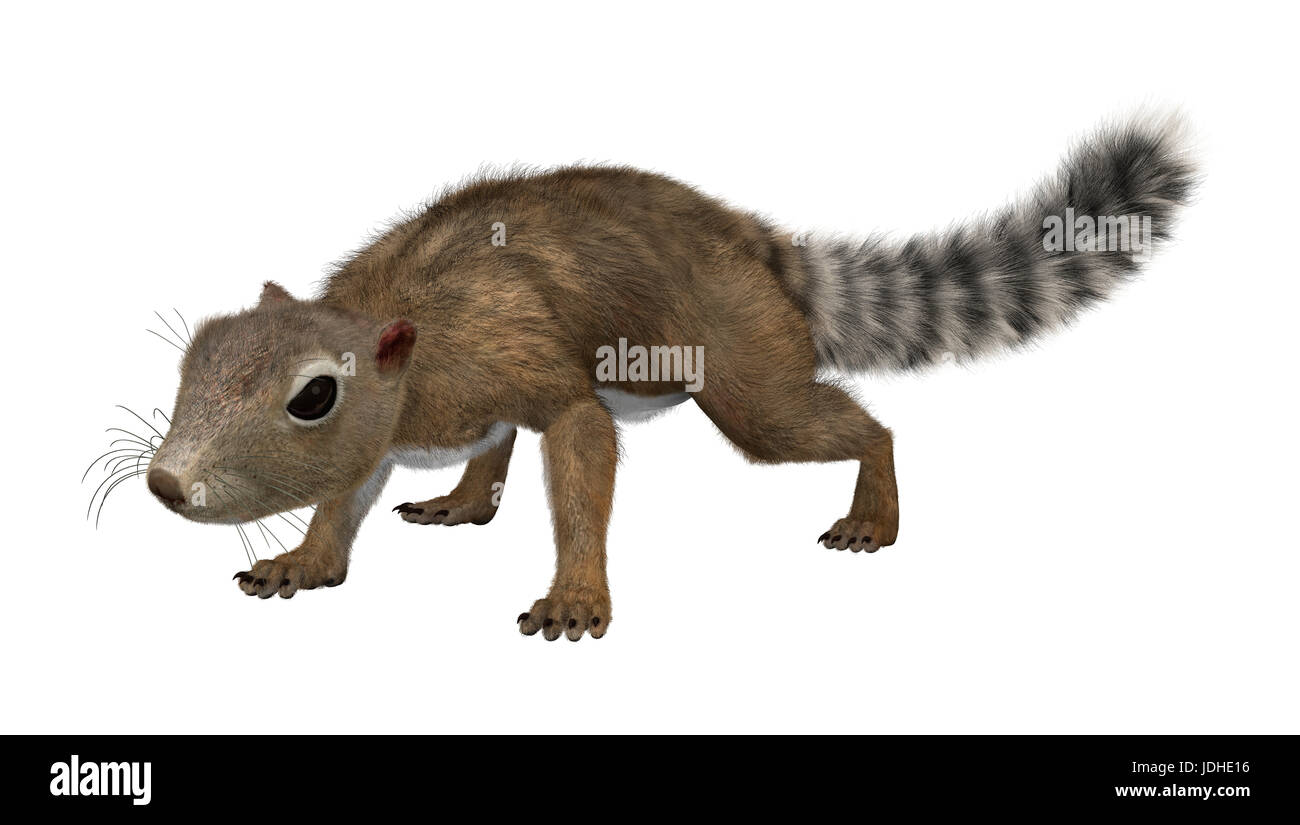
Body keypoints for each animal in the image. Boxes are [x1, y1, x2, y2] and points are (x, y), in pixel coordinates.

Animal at [143, 114, 1195, 641]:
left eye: (312, 395)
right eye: (195, 357)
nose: (165, 482)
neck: (396, 329)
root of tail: (757, 245)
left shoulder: (515, 356)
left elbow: (577, 442)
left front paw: (576, 593)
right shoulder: (409, 417)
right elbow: (347, 490)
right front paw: (307, 558)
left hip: (743, 359)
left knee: (820, 424)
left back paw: (874, 499)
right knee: (493, 446)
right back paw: (466, 495)